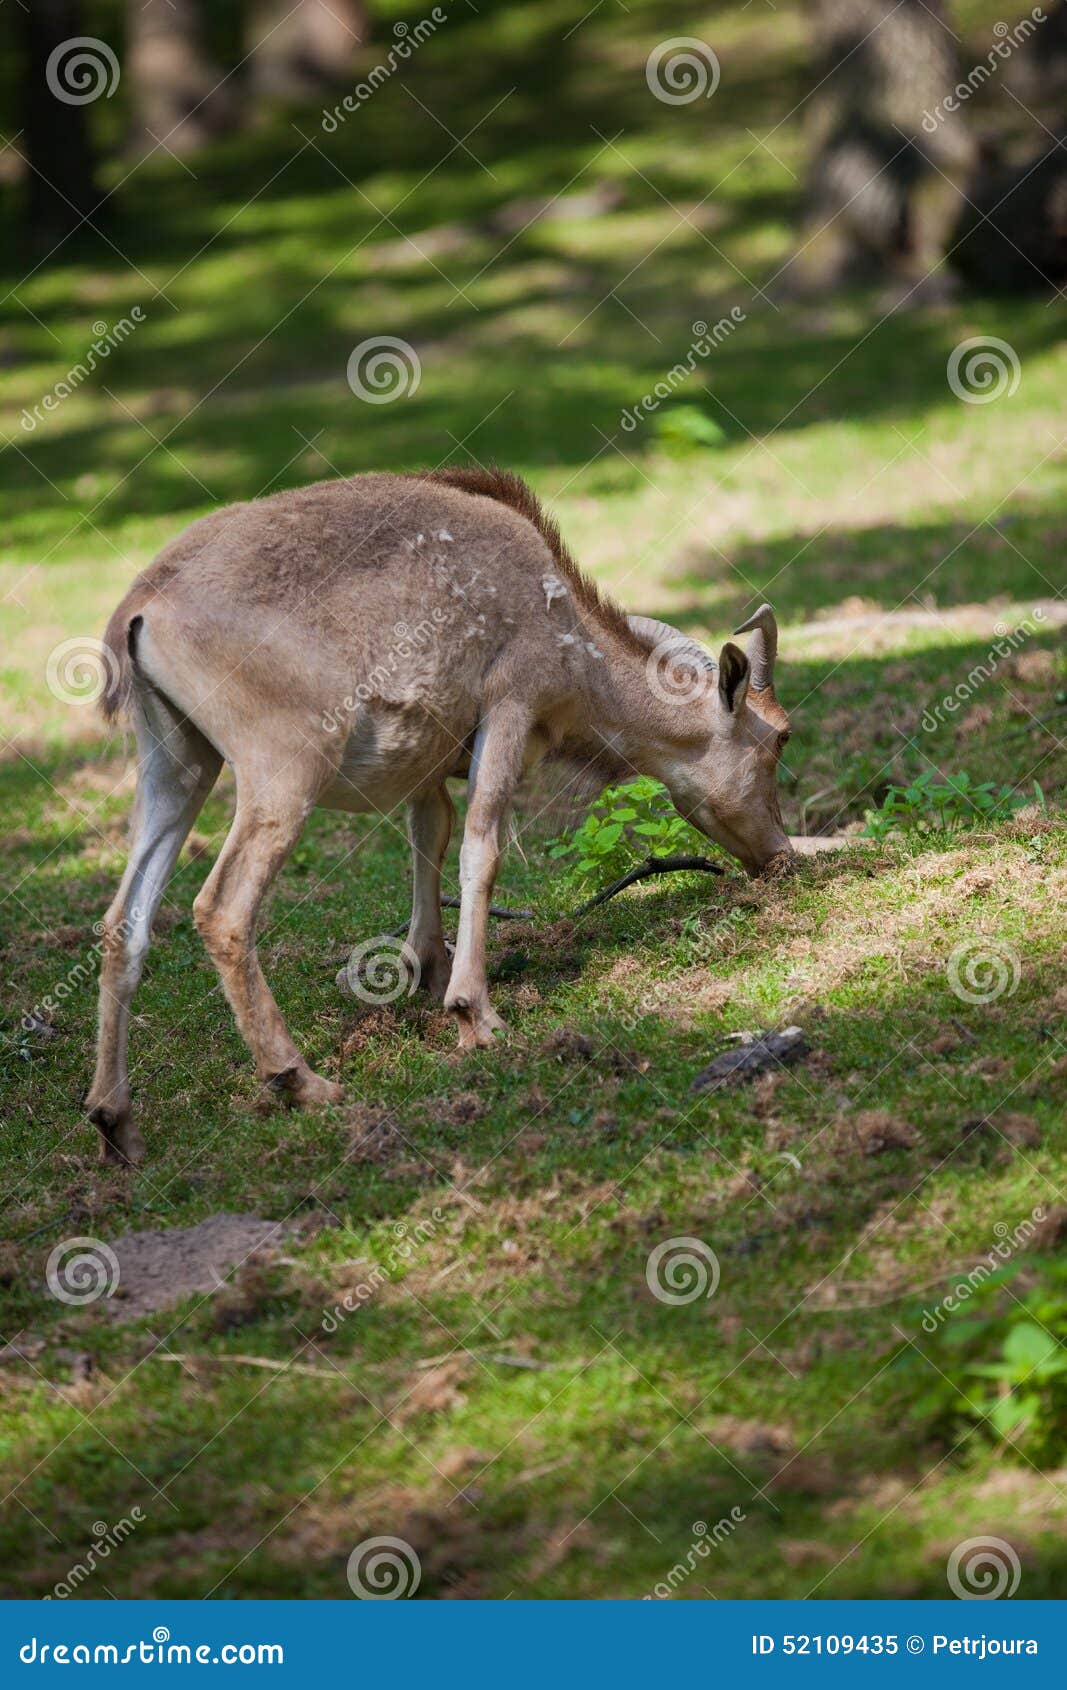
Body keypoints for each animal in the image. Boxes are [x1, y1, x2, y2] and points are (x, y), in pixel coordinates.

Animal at [87, 467, 792, 1163]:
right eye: (780, 737)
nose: (779, 857)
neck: (573, 645)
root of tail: (136, 614)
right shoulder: (511, 702)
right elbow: (482, 847)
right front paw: (475, 1014)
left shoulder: (428, 762)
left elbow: (430, 839)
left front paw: (425, 973)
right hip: (282, 764)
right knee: (222, 908)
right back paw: (301, 1080)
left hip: (176, 761)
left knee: (125, 919)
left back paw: (116, 1121)